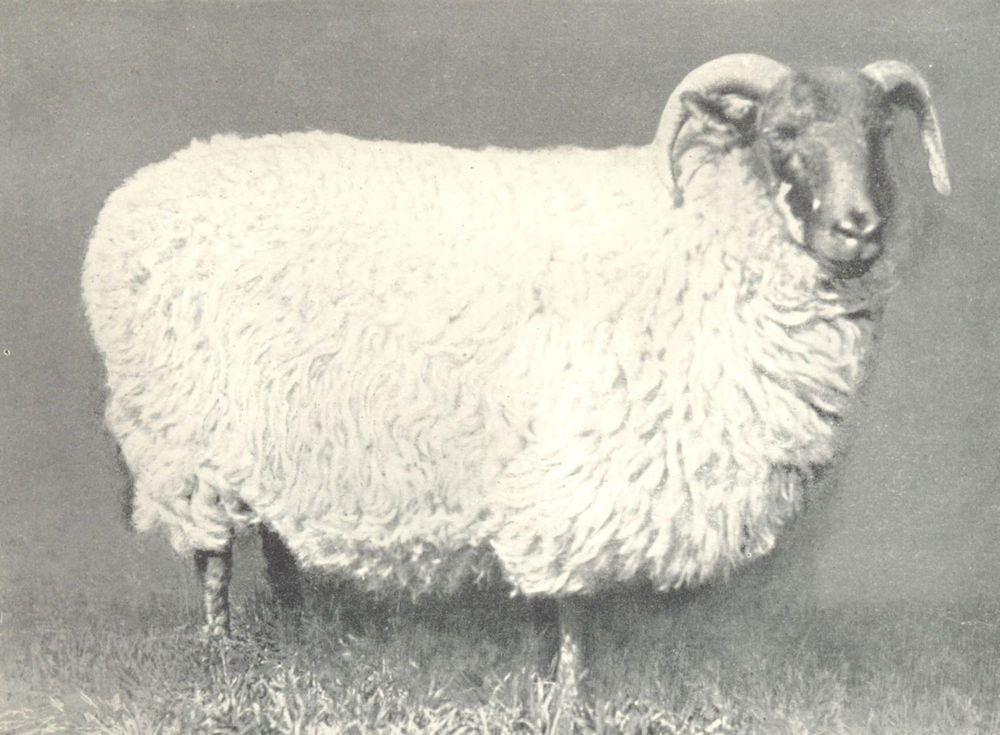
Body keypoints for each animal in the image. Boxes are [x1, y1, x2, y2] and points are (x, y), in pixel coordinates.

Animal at [81, 53, 950, 693]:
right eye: (783, 130)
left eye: (880, 131)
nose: (859, 229)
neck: (702, 230)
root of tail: (141, 189)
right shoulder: (579, 465)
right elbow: (571, 597)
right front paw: (568, 693)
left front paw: (544, 672)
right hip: (184, 431)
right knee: (213, 553)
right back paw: (221, 654)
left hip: (275, 429)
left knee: (273, 534)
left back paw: (299, 628)